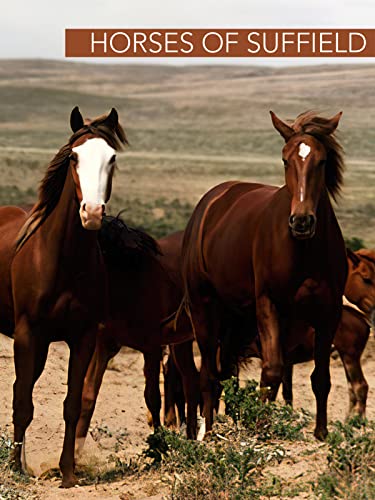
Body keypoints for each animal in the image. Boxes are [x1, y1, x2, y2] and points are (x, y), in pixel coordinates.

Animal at [0, 106, 128, 488]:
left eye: (112, 157)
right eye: (74, 156)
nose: (92, 213)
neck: (61, 259)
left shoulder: (82, 337)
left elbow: (72, 404)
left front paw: (67, 472)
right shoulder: (27, 334)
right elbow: (23, 403)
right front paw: (15, 469)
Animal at [181, 111, 348, 440]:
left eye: (322, 161)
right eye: (285, 160)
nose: (301, 222)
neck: (304, 250)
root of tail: (211, 202)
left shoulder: (328, 313)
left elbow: (319, 377)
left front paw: (321, 433)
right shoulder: (268, 305)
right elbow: (271, 371)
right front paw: (261, 428)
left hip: (237, 319)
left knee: (225, 370)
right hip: (203, 308)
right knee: (208, 374)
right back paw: (207, 433)